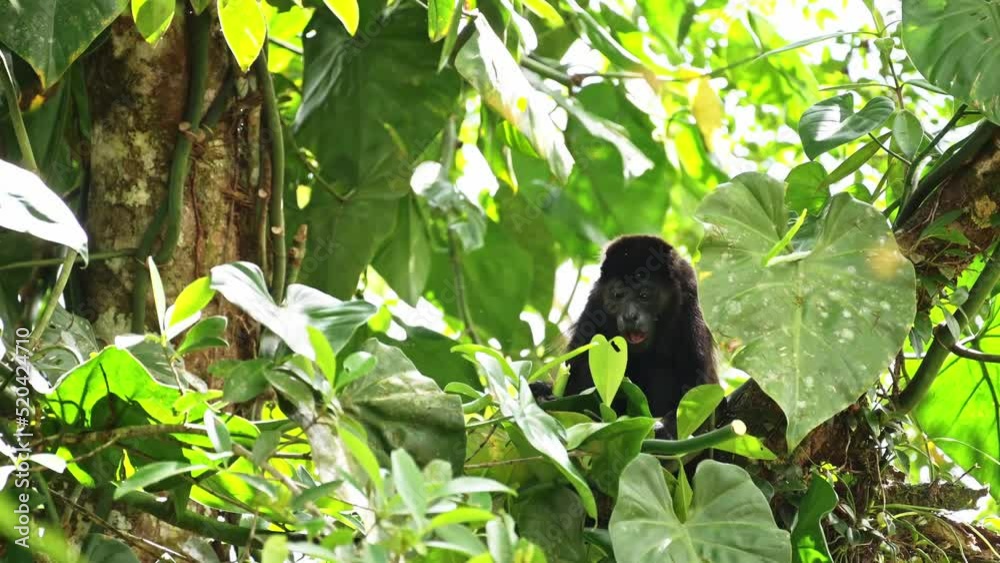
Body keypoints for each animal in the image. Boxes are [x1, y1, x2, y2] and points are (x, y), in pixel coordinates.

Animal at [537, 235, 719, 438]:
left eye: (644, 295)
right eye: (618, 295)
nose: (630, 316)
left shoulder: (691, 300)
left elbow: (697, 387)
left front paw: (666, 426)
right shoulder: (595, 304)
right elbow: (574, 380)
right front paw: (542, 392)